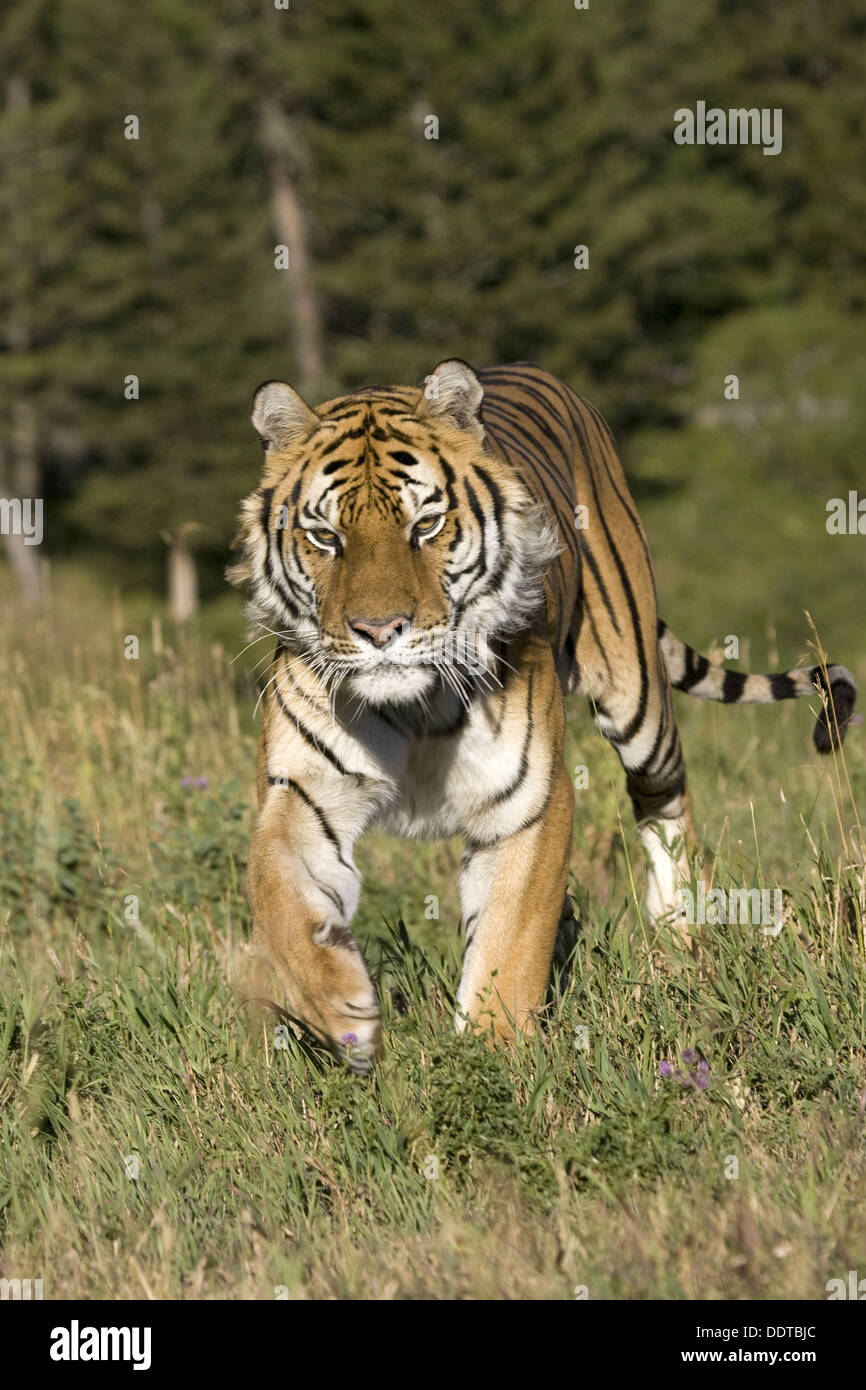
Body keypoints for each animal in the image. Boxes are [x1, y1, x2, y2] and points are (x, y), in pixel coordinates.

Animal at [228, 359, 857, 1073]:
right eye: (325, 537)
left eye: (425, 526)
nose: (379, 630)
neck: (415, 709)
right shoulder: (302, 789)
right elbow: (280, 894)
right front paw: (343, 1009)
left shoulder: (529, 798)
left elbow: (509, 940)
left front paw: (490, 1062)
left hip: (636, 697)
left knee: (666, 799)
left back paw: (678, 941)